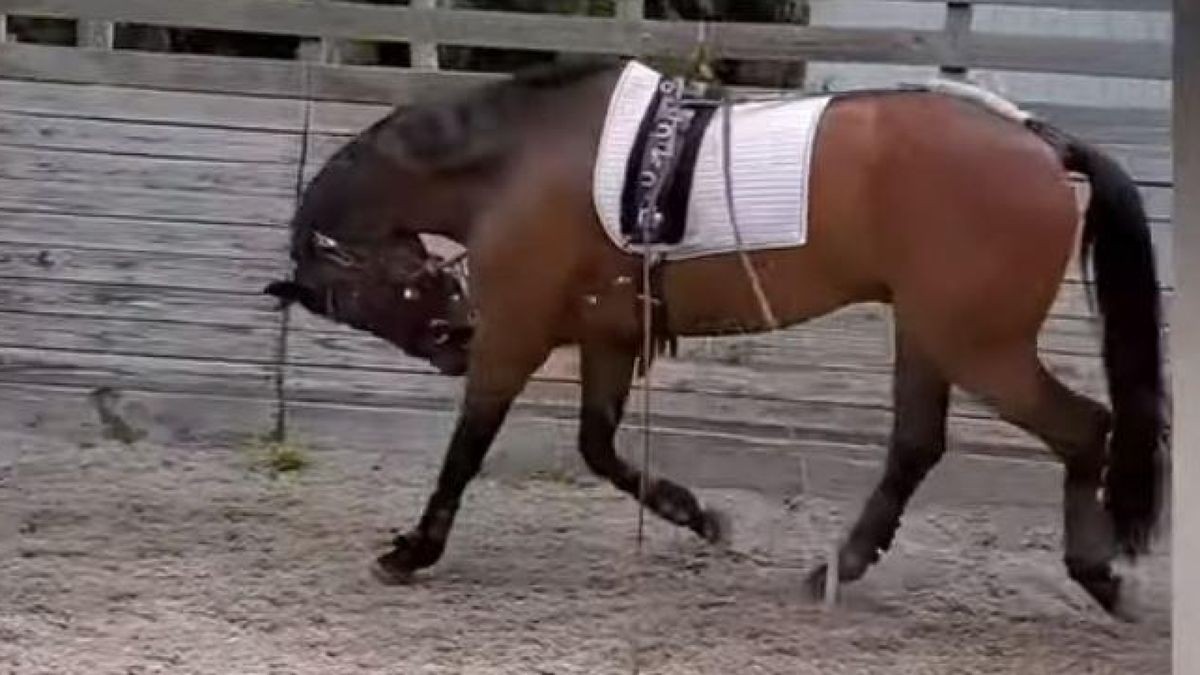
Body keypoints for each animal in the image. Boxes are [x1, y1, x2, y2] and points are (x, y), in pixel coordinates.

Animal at [264, 59, 1166, 616]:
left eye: (356, 297)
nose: (451, 340)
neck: (520, 162)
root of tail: (1042, 142)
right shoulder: (610, 336)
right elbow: (599, 448)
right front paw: (699, 516)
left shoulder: (515, 335)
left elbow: (468, 446)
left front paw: (413, 549)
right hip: (930, 333)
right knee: (918, 446)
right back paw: (836, 569)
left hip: (979, 345)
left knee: (1085, 427)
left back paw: (1098, 576)